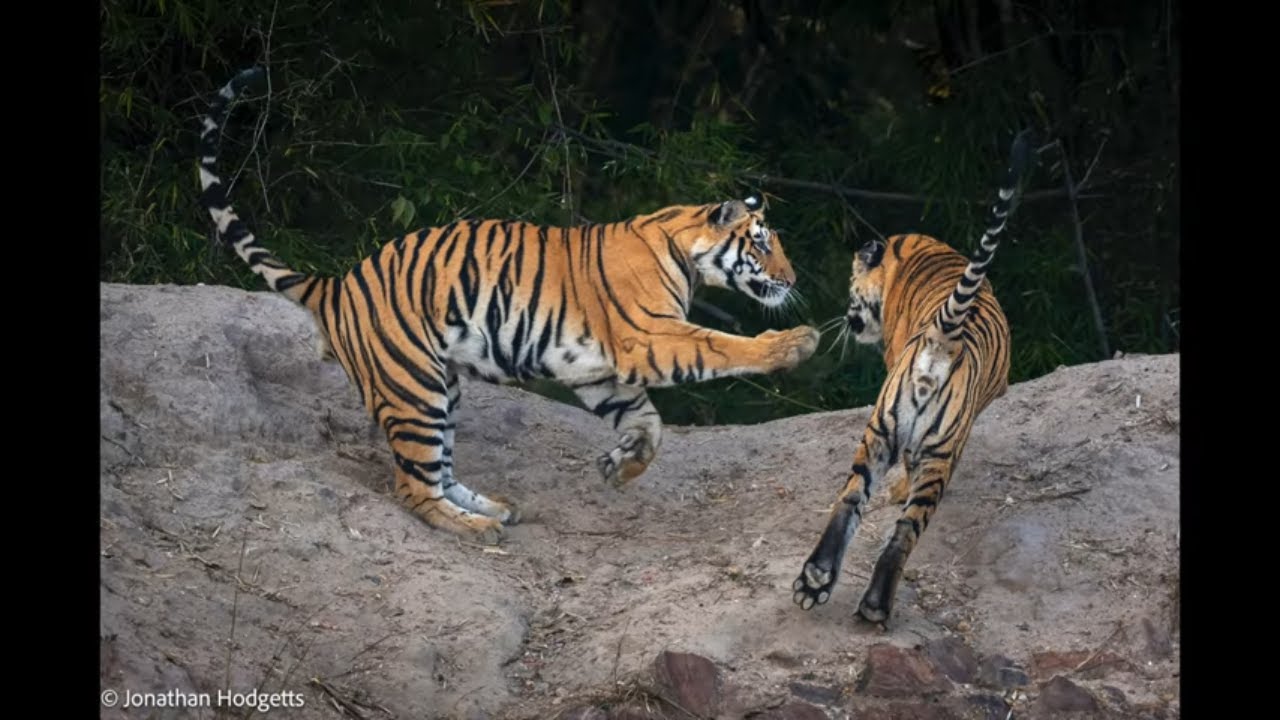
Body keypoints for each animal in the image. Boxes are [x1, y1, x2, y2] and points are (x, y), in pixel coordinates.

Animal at [197, 67, 820, 545]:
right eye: (763, 242)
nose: (792, 279)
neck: (683, 250)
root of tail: (336, 283)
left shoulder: (597, 369)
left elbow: (650, 422)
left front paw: (621, 467)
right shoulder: (648, 336)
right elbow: (720, 345)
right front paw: (793, 344)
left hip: (441, 385)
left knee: (438, 467)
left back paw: (492, 507)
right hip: (412, 385)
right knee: (412, 485)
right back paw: (475, 528)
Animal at [791, 129, 1035, 623]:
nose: (848, 318)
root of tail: (945, 336)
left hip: (876, 432)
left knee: (848, 499)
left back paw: (816, 581)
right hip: (934, 451)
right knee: (905, 529)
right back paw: (875, 606)